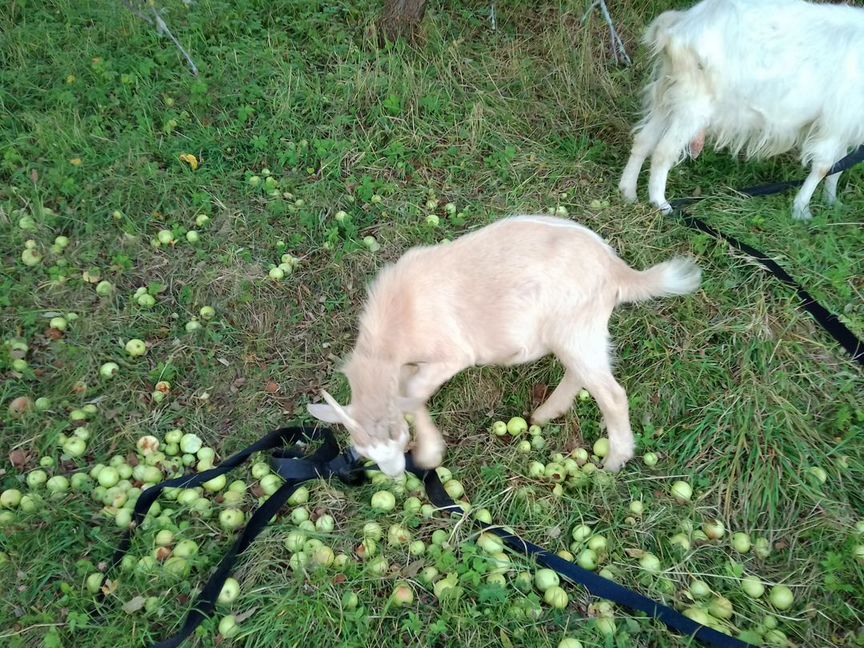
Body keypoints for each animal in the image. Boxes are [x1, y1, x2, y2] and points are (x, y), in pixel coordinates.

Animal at [307, 215, 701, 478]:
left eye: (394, 434)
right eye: (362, 449)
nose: (394, 474)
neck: (398, 315)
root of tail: (615, 268)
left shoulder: (451, 354)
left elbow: (414, 392)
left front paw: (430, 452)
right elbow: (409, 390)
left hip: (575, 328)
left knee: (612, 394)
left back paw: (615, 460)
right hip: (580, 331)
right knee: (581, 374)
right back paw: (545, 414)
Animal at [618, 0, 864, 221]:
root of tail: (679, 27)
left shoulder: (847, 126)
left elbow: (838, 166)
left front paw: (832, 202)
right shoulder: (835, 122)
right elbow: (824, 167)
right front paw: (802, 211)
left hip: (668, 94)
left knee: (644, 140)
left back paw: (628, 192)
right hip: (693, 106)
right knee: (663, 151)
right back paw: (661, 204)